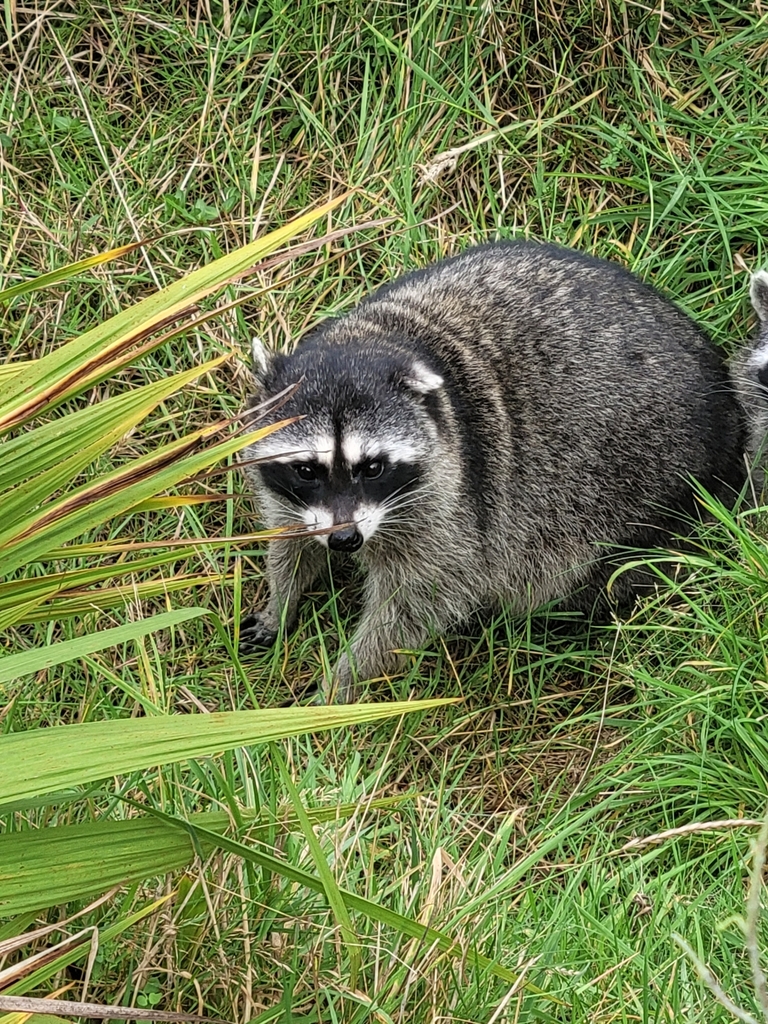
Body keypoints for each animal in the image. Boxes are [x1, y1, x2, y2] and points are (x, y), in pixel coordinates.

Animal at [240, 240, 747, 702]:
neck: (376, 339)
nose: (345, 540)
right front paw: (281, 601)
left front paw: (343, 678)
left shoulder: (455, 502)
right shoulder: (297, 495)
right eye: (307, 469)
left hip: (650, 492)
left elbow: (420, 602)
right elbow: (292, 539)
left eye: (374, 467)